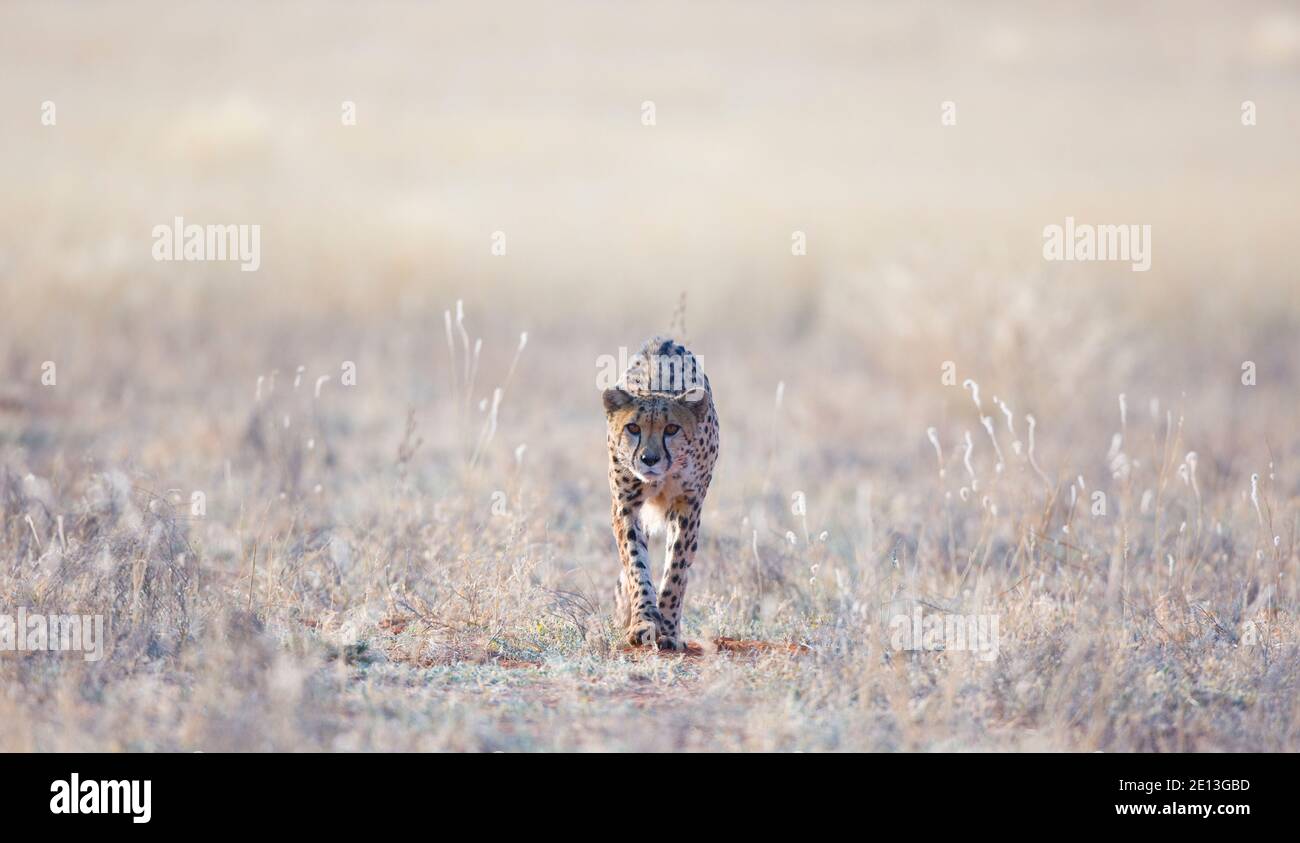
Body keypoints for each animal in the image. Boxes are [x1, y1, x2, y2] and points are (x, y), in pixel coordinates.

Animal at [602, 336, 719, 651]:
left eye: (672, 429)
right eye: (632, 427)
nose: (650, 459)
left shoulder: (688, 505)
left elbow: (676, 567)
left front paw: (667, 628)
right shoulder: (626, 506)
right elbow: (636, 564)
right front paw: (644, 621)